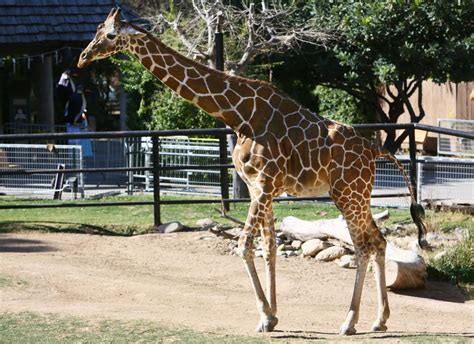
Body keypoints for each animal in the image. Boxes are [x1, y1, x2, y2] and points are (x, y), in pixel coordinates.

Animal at [78, 8, 430, 336]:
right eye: (96, 31)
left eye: (110, 35)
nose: (83, 57)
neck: (238, 115)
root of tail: (376, 150)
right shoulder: (259, 187)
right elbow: (269, 247)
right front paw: (273, 317)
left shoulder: (262, 184)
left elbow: (245, 245)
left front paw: (263, 317)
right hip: (358, 193)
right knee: (379, 240)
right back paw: (379, 320)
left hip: (347, 192)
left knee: (363, 245)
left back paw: (349, 322)